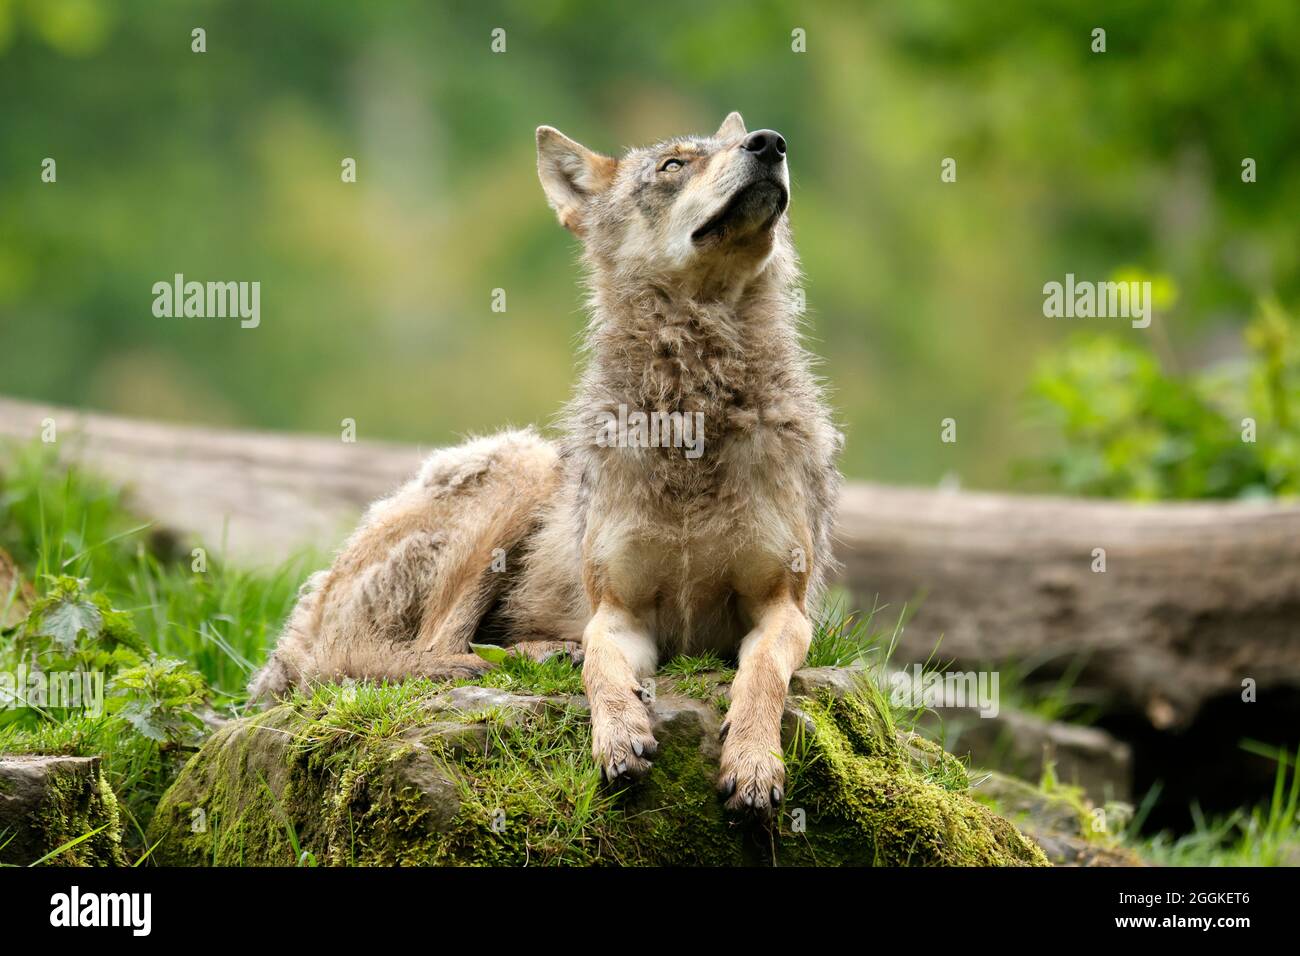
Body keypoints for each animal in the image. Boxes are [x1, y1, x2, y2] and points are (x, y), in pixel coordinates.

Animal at [249, 112, 843, 816]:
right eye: (673, 165)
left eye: (734, 141)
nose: (769, 142)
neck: (692, 416)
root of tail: (296, 628)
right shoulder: (616, 612)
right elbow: (601, 668)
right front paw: (618, 735)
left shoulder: (785, 606)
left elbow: (762, 677)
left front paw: (753, 762)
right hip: (523, 470)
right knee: (406, 654)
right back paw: (532, 655)